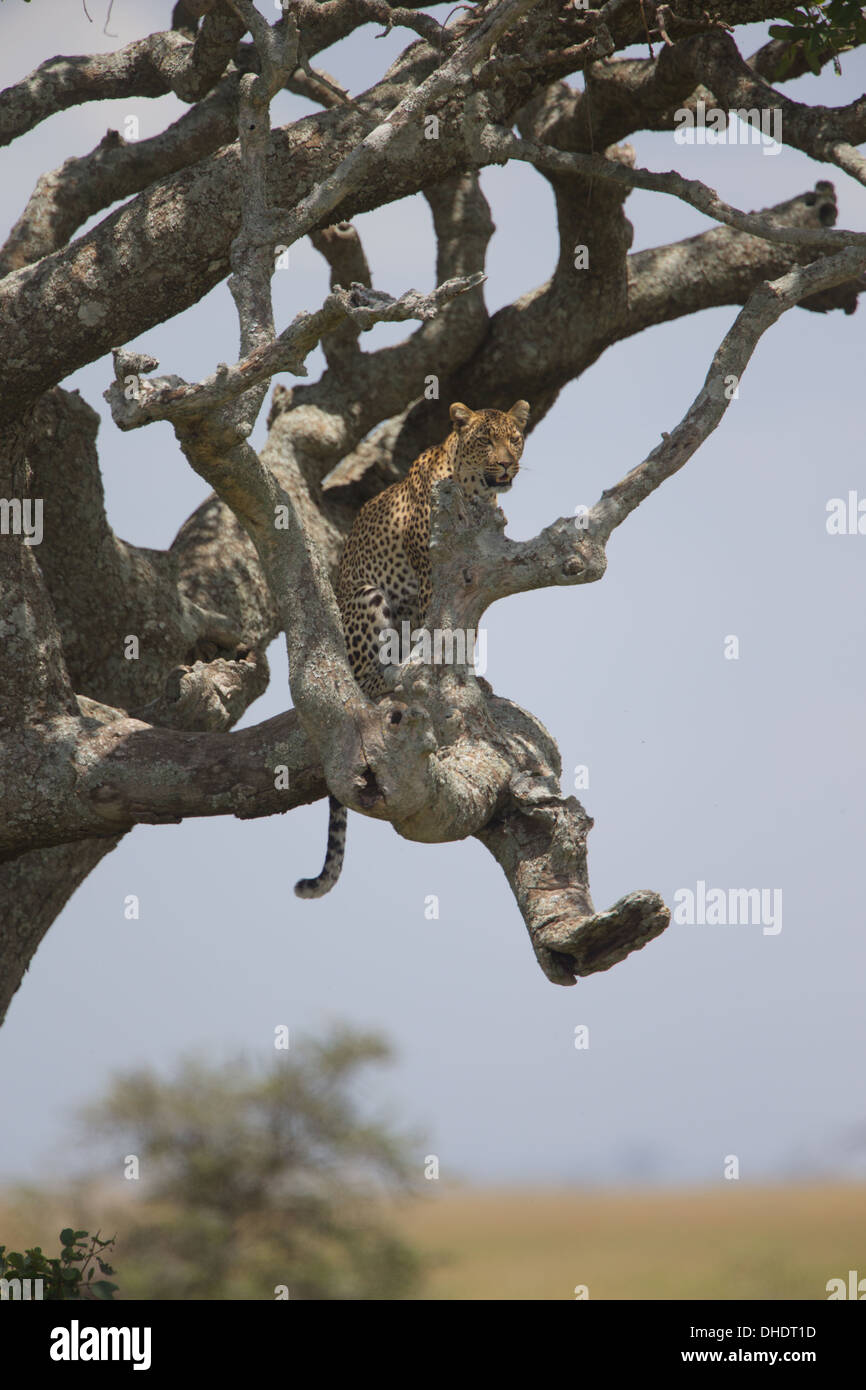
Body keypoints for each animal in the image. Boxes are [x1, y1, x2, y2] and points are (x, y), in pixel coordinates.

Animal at [294, 398, 530, 900]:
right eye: (486, 440)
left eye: (515, 439)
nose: (506, 464)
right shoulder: (429, 573)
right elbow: (438, 631)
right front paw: (440, 678)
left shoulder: (471, 571)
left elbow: (462, 631)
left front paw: (472, 679)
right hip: (367, 597)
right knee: (367, 675)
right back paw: (390, 674)